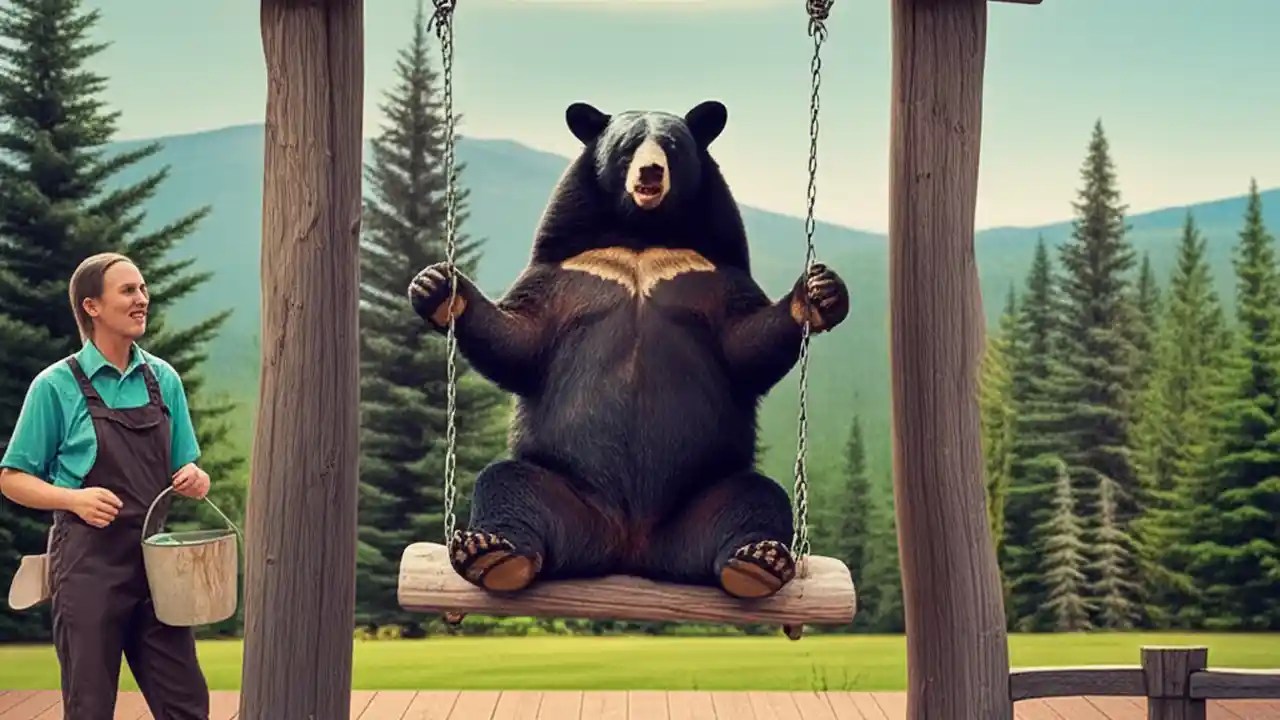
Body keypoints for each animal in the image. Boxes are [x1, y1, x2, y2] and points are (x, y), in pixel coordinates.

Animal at [407, 99, 849, 601]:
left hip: (702, 495)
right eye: (627, 145)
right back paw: (492, 553)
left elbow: (745, 341)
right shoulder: (570, 270)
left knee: (754, 497)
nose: (651, 172)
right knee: (508, 484)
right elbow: (521, 338)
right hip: (562, 488)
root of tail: (630, 545)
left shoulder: (710, 271)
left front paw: (820, 293)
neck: (641, 236)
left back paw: (758, 562)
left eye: (672, 146)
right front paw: (436, 287)